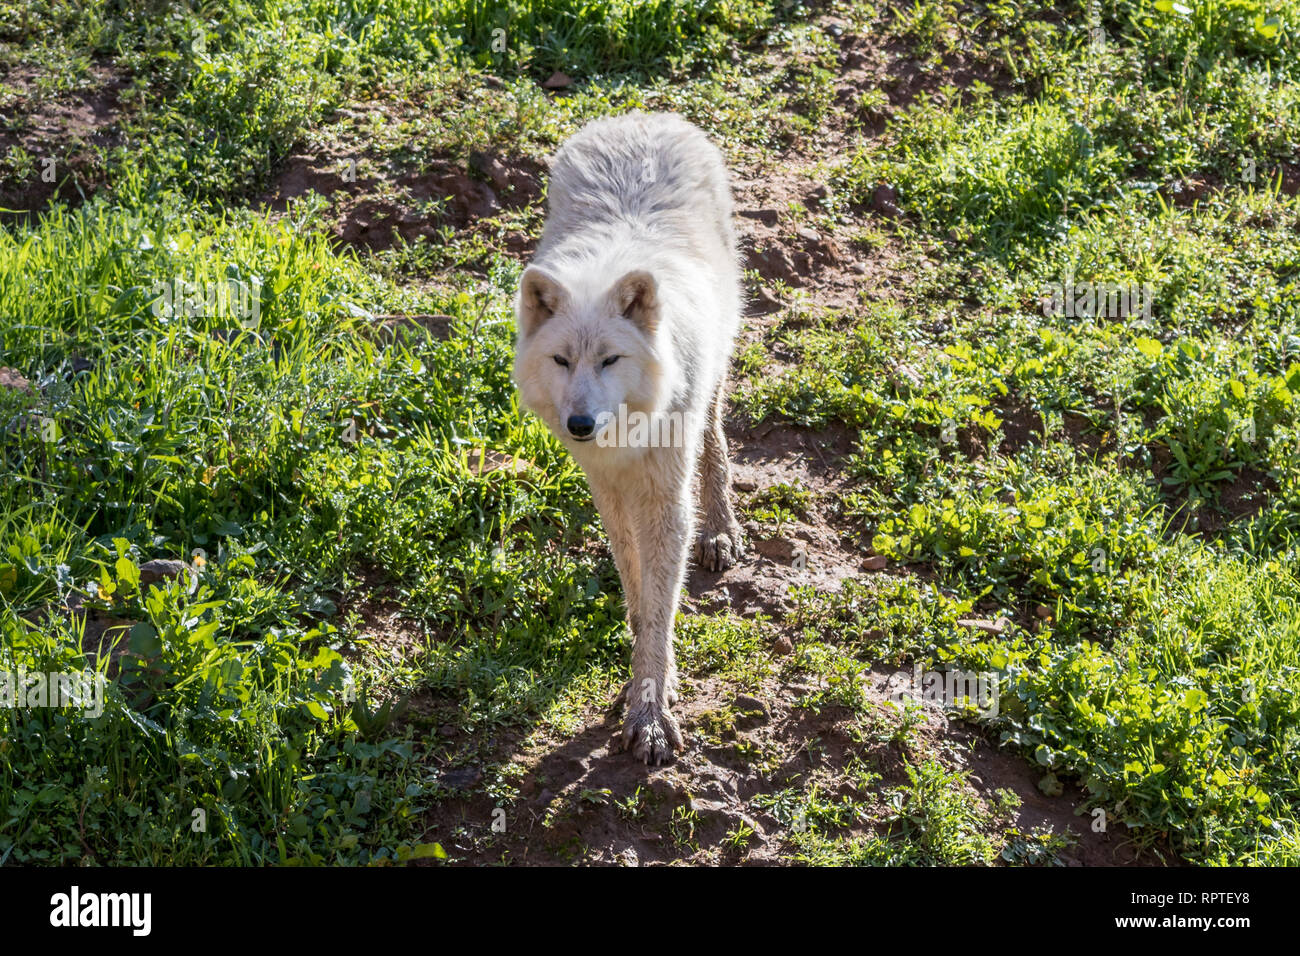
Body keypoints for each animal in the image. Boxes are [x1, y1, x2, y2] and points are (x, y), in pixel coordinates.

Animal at [513, 111, 745, 764]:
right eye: (562, 361)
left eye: (611, 359)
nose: (580, 426)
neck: (625, 440)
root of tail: (642, 115)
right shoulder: (609, 488)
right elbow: (638, 587)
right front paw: (645, 686)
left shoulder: (664, 497)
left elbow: (663, 605)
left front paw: (650, 712)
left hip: (715, 371)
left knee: (714, 439)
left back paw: (720, 531)